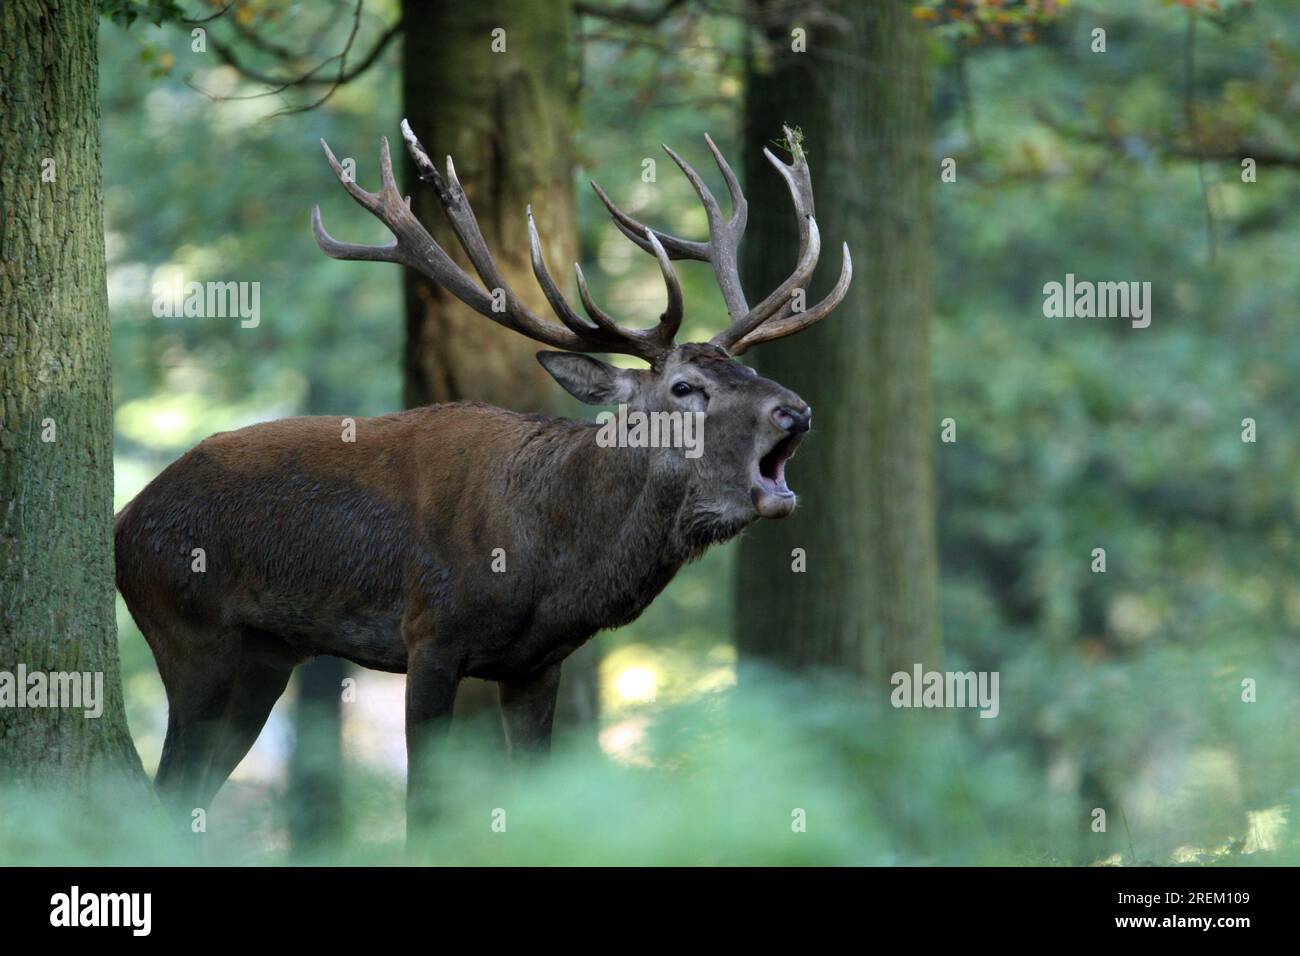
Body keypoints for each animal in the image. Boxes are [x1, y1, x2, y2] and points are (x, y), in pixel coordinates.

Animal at [114, 120, 851, 826]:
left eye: (746, 369)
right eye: (685, 387)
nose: (796, 410)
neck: (551, 569)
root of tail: (121, 523)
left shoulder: (538, 665)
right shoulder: (430, 636)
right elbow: (422, 805)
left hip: (263, 657)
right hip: (191, 632)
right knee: (165, 787)